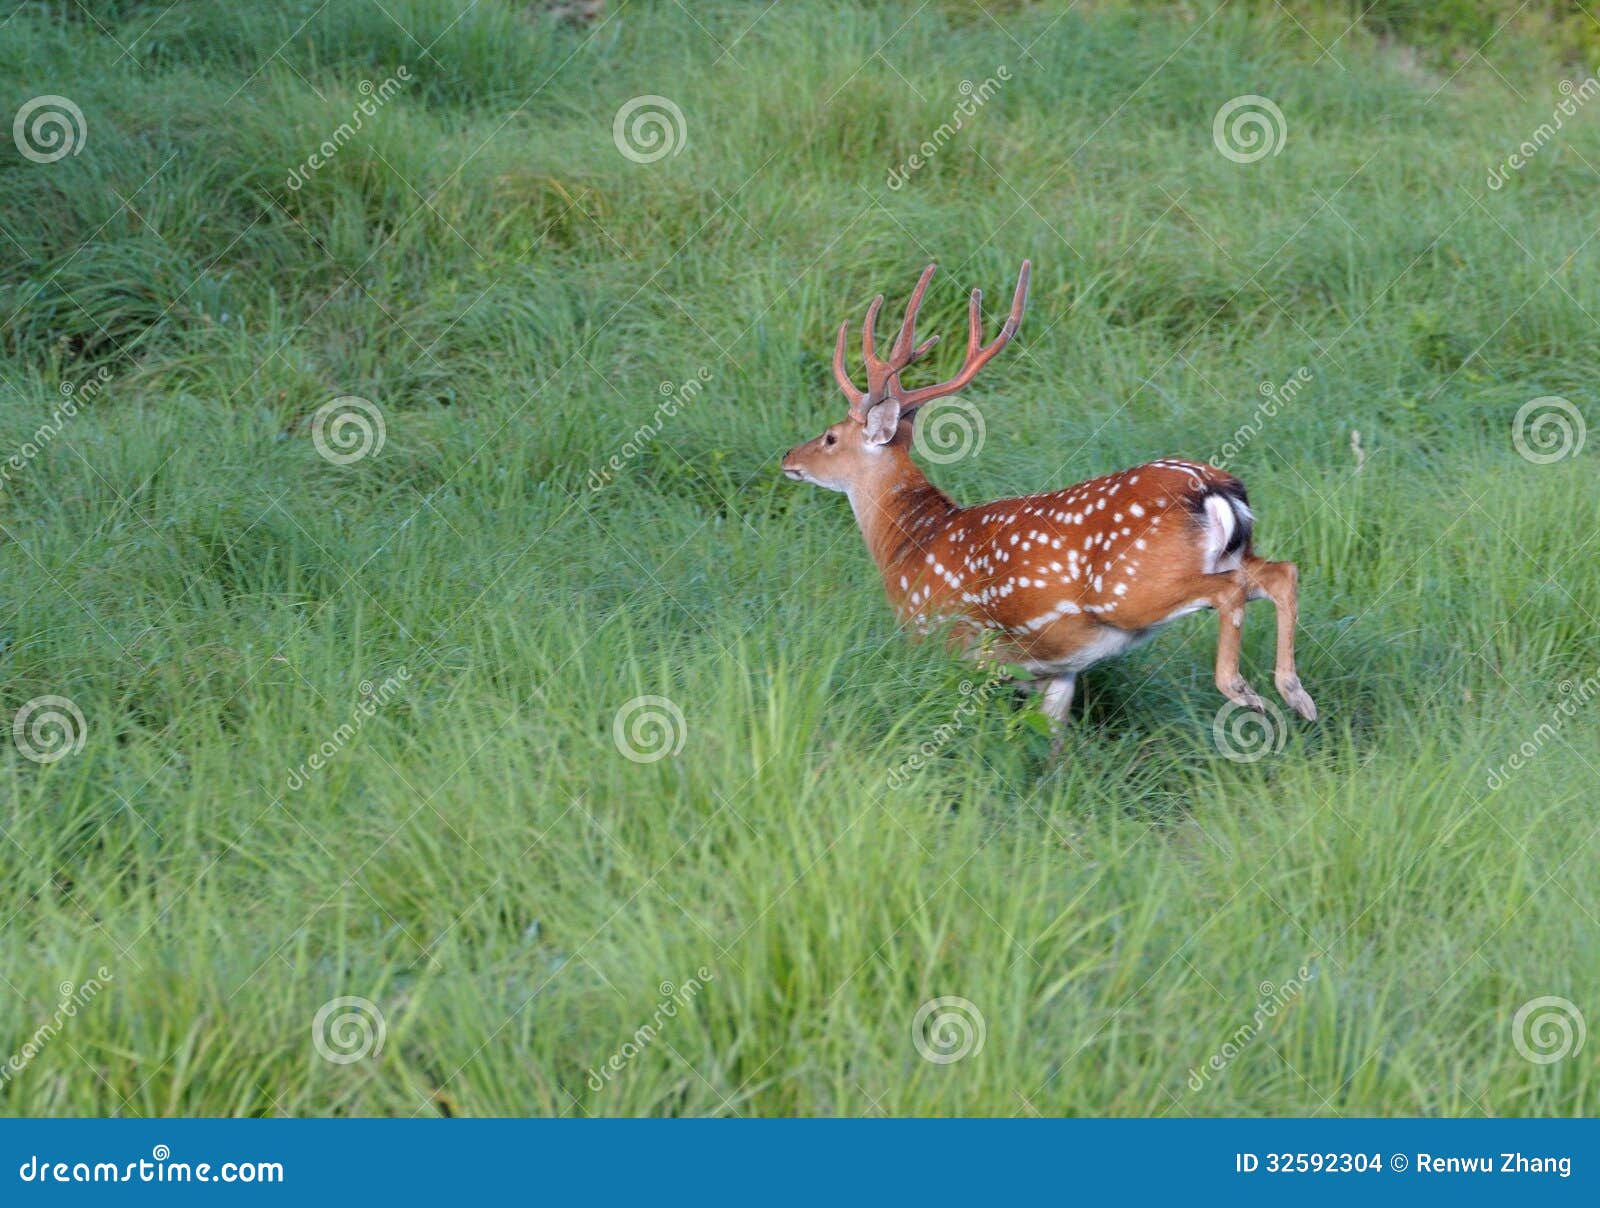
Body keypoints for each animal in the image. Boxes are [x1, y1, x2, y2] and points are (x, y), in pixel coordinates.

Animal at [781, 260, 1317, 739]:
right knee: (1281, 572)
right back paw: (1296, 695)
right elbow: (1051, 744)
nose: (788, 456)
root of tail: (1214, 488)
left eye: (830, 437)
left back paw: (1244, 692)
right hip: (1226, 556)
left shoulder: (942, 636)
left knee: (1230, 591)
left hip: (1132, 587)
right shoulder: (1057, 671)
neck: (909, 544)